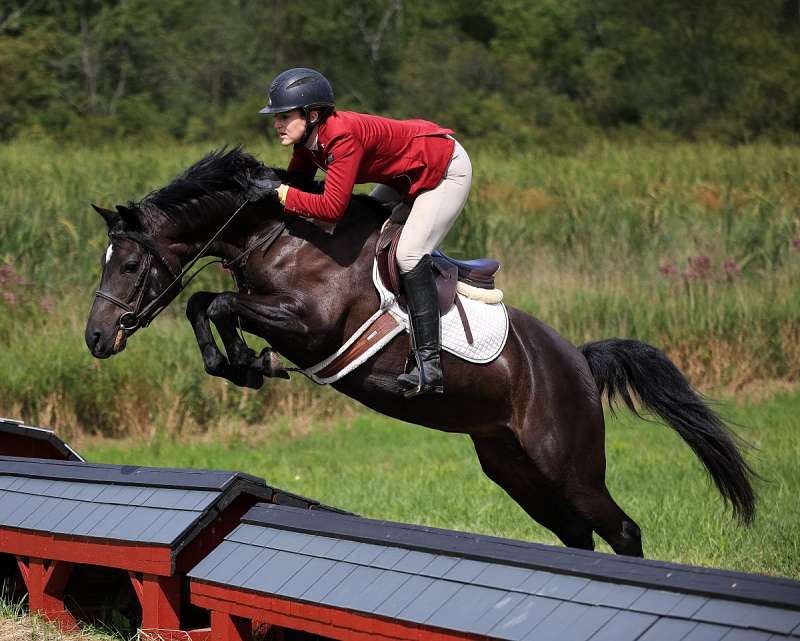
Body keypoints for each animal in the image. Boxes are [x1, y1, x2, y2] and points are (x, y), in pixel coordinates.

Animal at [85, 148, 756, 556]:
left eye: (132, 264)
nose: (95, 337)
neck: (278, 234)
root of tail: (579, 362)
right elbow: (206, 304)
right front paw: (241, 365)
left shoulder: (309, 324)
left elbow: (217, 303)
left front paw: (249, 364)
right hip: (513, 465)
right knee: (576, 532)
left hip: (568, 461)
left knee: (621, 528)